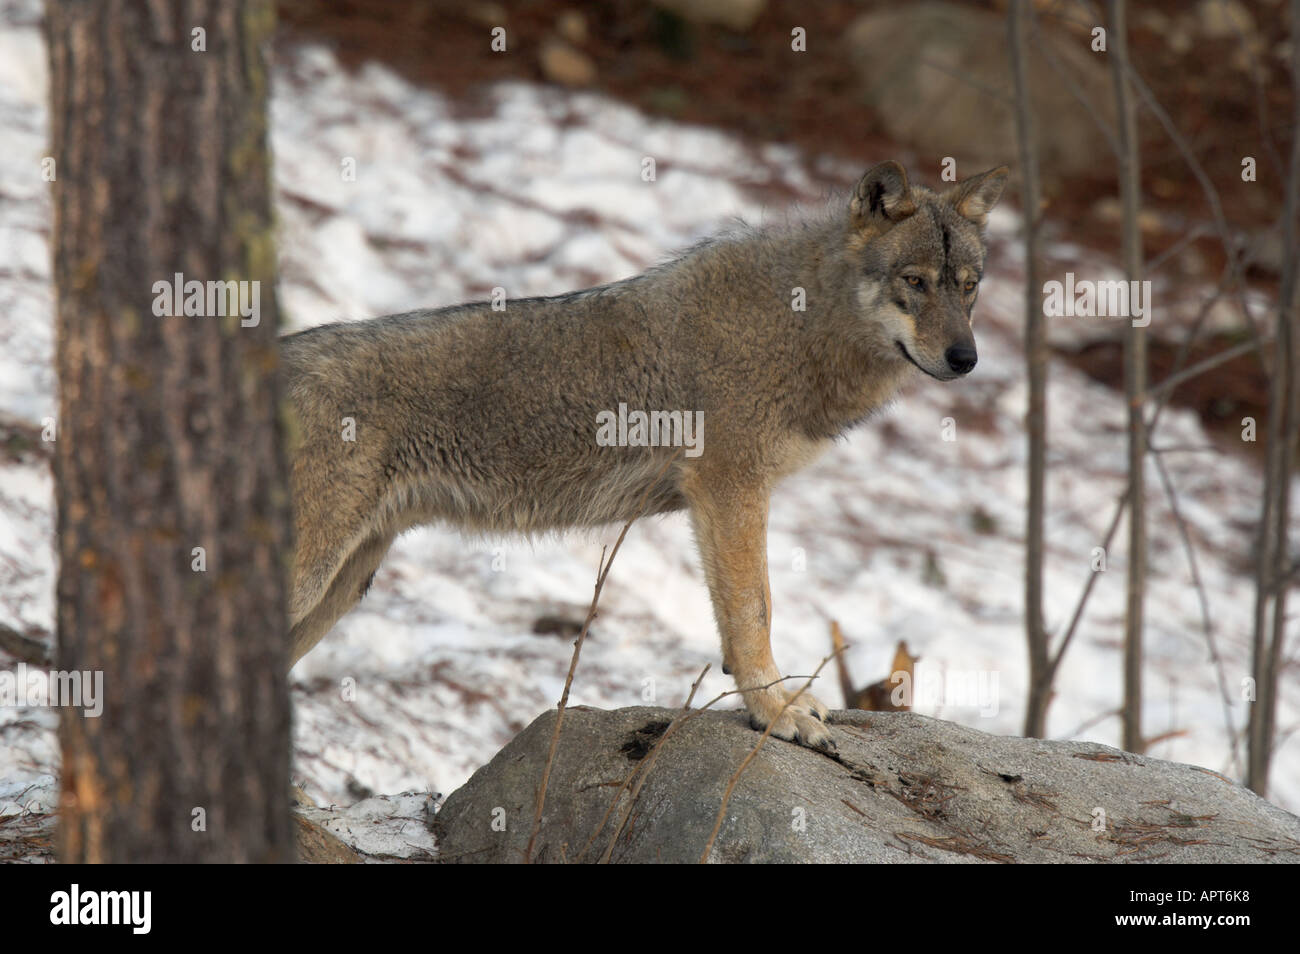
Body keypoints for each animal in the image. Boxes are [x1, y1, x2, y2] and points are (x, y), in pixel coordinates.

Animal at [280, 160, 1007, 751]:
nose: (967, 359)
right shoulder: (731, 490)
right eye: (915, 281)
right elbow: (756, 613)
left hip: (344, 586)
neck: (800, 324)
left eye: (969, 286)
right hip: (315, 579)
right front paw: (775, 712)